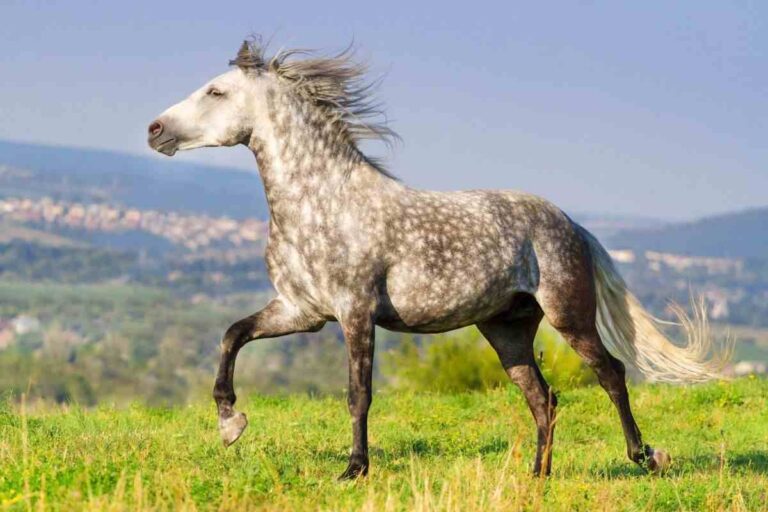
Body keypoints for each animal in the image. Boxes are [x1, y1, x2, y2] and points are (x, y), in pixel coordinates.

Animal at [148, 39, 729, 479]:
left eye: (216, 91)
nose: (155, 130)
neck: (324, 203)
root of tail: (571, 224)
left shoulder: (355, 312)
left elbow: (358, 393)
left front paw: (353, 470)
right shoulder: (302, 312)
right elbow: (232, 336)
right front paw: (231, 423)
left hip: (569, 315)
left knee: (611, 373)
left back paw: (644, 456)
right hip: (507, 330)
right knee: (544, 398)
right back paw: (536, 476)